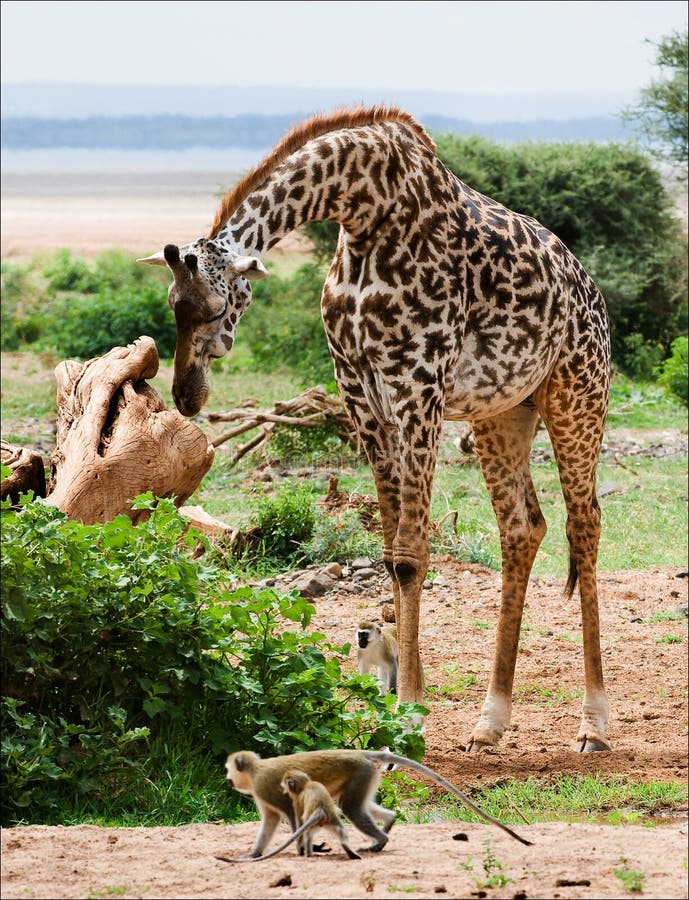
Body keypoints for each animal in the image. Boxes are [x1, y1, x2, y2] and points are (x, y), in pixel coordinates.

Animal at [139, 106, 612, 752]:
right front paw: (395, 711)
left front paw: (410, 711)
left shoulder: (419, 387)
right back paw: (489, 724)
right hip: (503, 412)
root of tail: (593, 293)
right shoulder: (360, 391)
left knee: (583, 524)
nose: (187, 395)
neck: (363, 212)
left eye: (214, 307)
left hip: (576, 395)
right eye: (171, 305)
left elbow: (412, 553)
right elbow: (391, 554)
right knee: (522, 527)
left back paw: (594, 725)